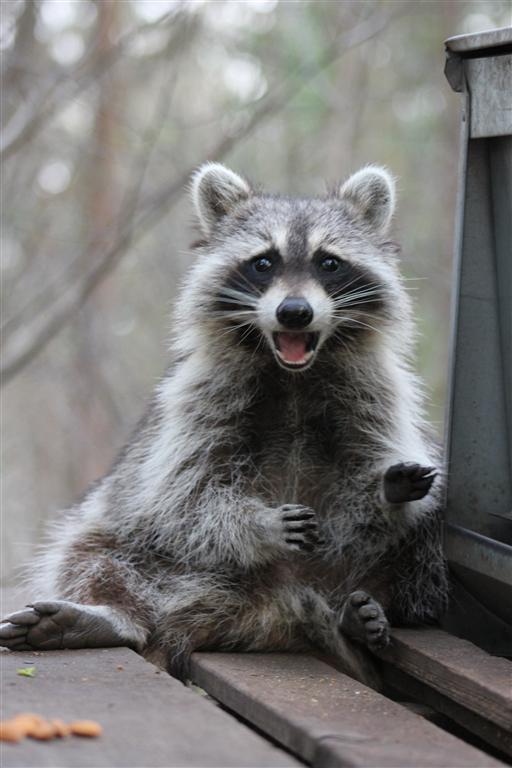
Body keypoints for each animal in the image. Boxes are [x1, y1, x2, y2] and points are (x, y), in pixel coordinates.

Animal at [1, 163, 448, 686]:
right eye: (264, 263)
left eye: (328, 263)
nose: (294, 312)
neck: (295, 374)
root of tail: (270, 606)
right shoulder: (196, 399)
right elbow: (181, 501)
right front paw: (257, 525)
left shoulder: (376, 397)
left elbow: (369, 498)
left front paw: (384, 493)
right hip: (128, 540)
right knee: (95, 550)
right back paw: (113, 615)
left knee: (425, 550)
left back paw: (357, 624)